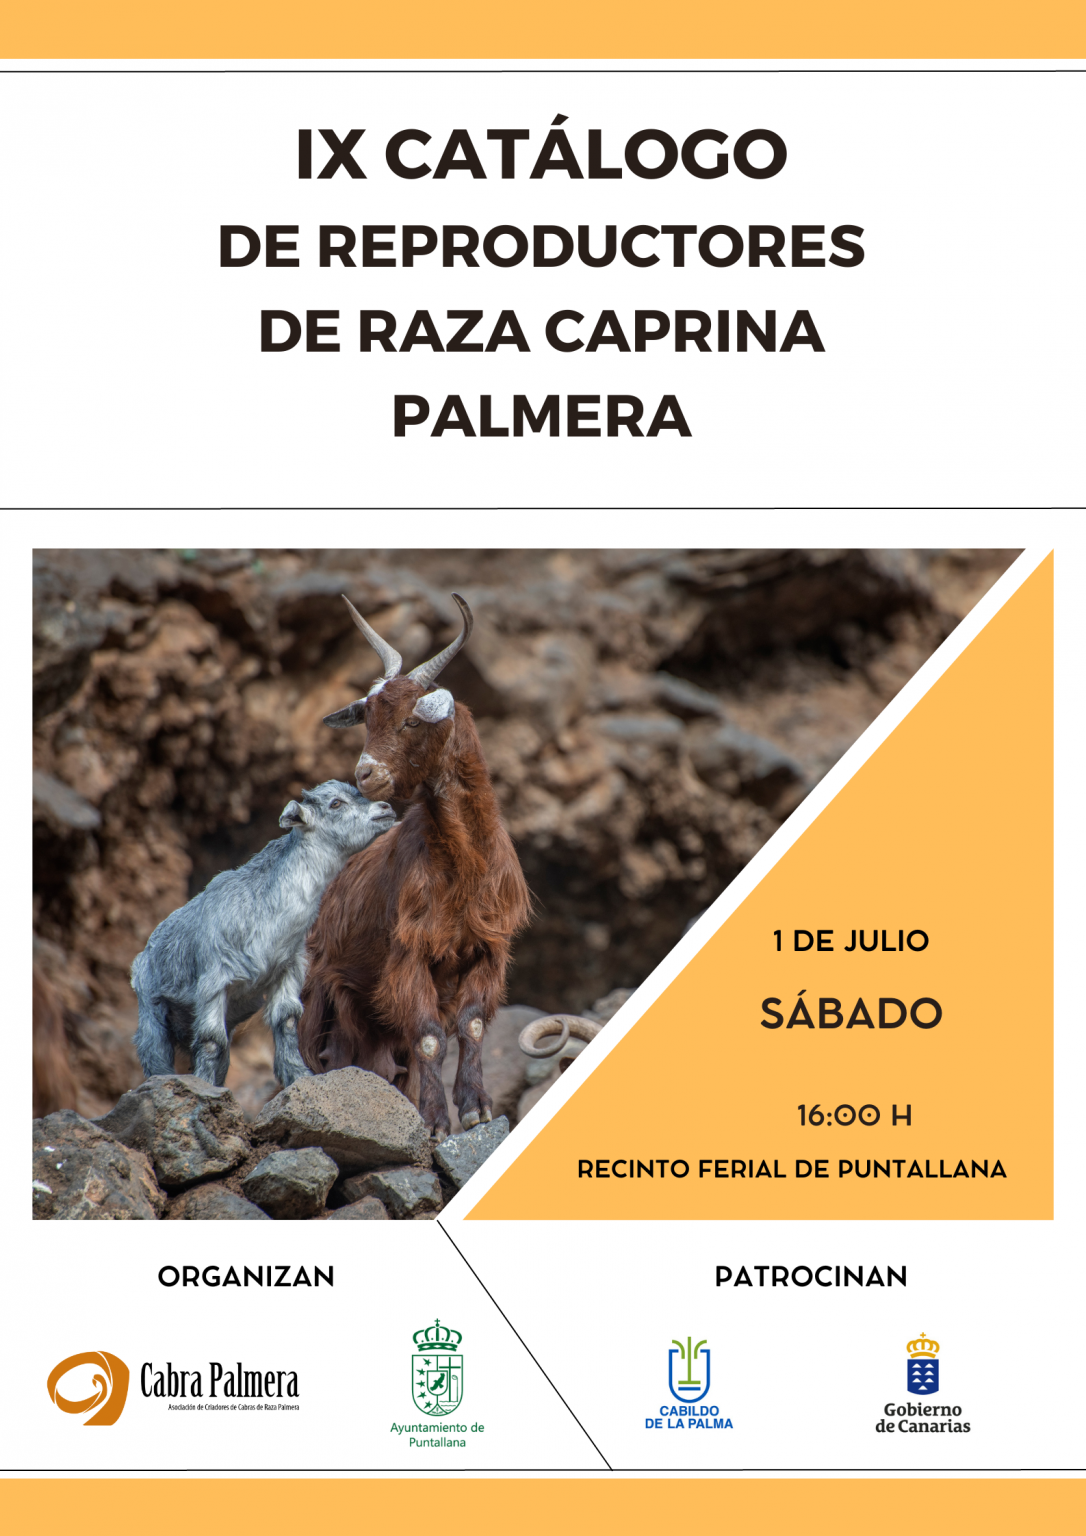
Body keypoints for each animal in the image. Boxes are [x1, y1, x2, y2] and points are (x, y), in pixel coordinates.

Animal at [131, 781, 395, 1088]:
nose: (386, 808)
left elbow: (287, 1021)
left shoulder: (288, 971)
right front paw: (204, 1086)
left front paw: (298, 1075)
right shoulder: (213, 982)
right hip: (152, 1012)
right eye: (336, 804)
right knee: (156, 1055)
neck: (265, 916)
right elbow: (210, 1040)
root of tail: (143, 956)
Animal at [298, 595, 531, 1139]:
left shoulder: (489, 946)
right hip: (328, 999)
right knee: (337, 1060)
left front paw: (475, 1108)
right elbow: (429, 1038)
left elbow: (469, 1025)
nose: (365, 774)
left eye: (411, 721)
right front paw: (434, 1121)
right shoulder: (409, 952)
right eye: (368, 719)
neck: (466, 863)